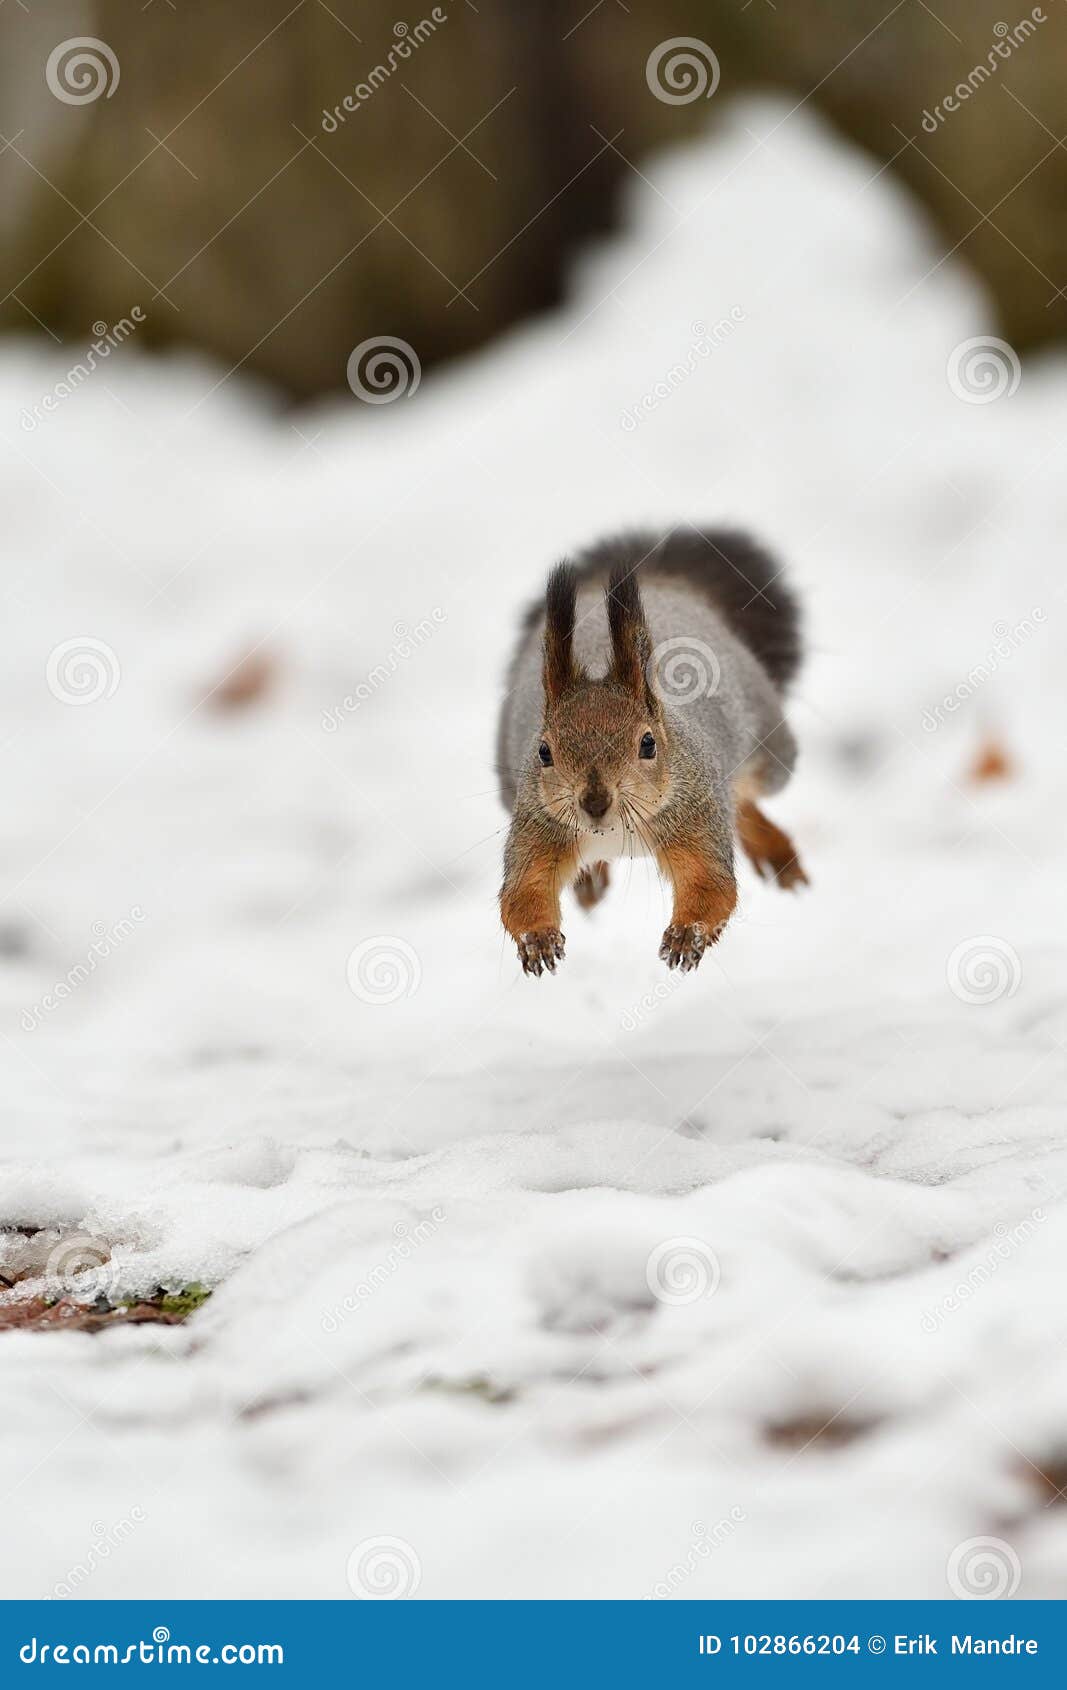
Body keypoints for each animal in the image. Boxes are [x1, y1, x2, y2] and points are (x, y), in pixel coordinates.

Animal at [496, 526, 807, 976]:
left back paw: (777, 855)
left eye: (648, 743)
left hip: (772, 758)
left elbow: (712, 884)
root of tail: (668, 586)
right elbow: (521, 891)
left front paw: (686, 936)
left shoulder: (696, 812)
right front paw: (537, 939)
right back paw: (591, 884)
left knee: (745, 800)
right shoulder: (537, 826)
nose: (594, 802)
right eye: (543, 752)